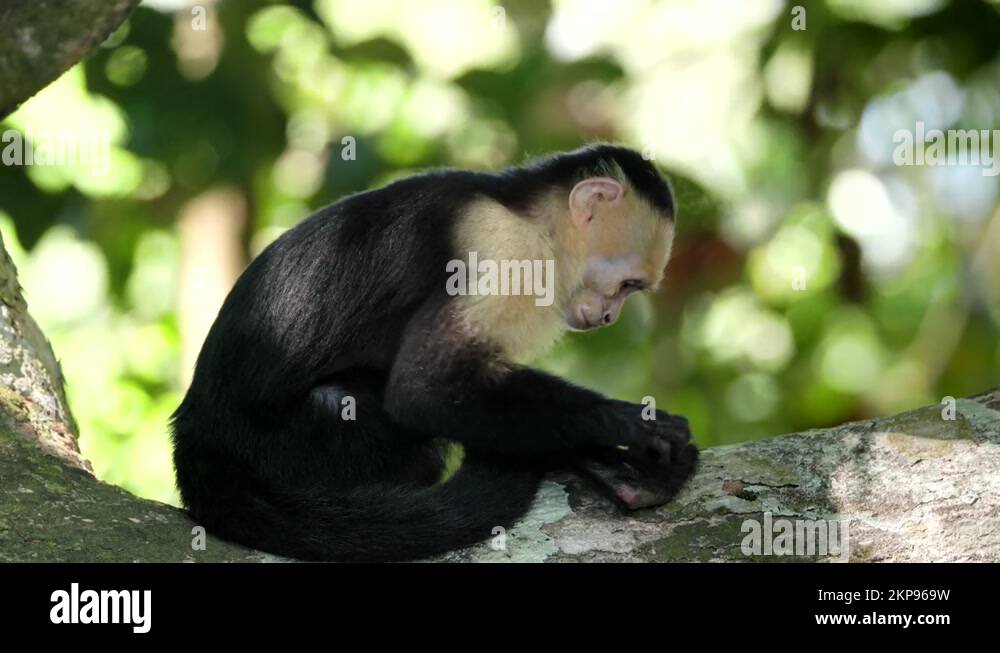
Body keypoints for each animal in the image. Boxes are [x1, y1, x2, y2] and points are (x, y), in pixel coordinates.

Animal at [171, 144, 698, 562]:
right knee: (343, 403)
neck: (524, 213)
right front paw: (627, 424)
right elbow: (423, 392)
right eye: (628, 285)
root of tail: (195, 433)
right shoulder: (505, 250)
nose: (609, 317)